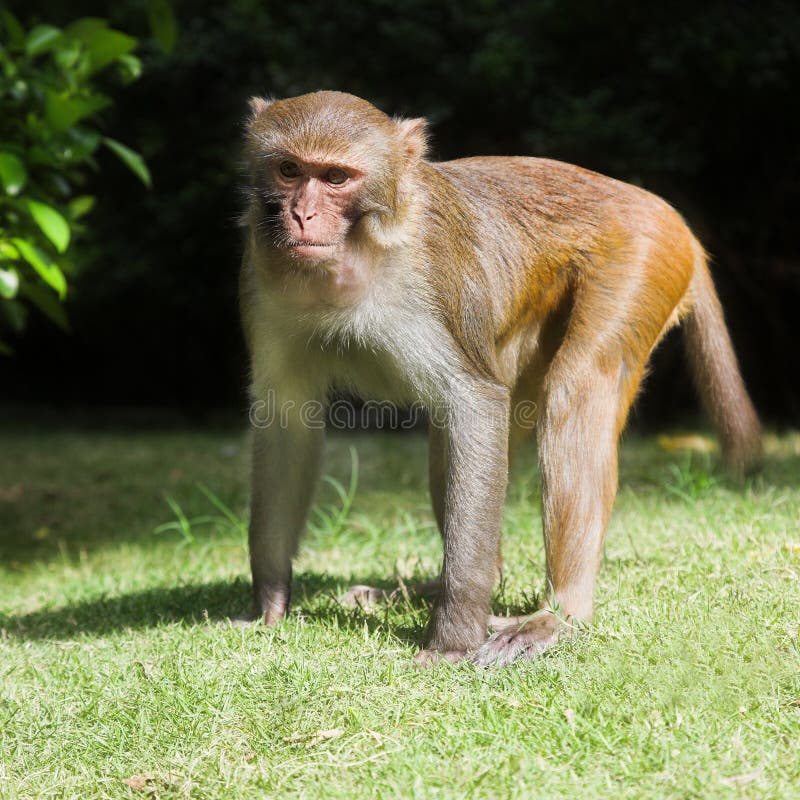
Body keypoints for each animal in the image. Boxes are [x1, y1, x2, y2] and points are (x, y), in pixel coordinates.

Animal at [237, 90, 761, 666]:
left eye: (335, 177)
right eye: (289, 170)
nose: (301, 214)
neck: (356, 258)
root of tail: (671, 215)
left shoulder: (431, 278)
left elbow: (476, 404)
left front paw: (452, 640)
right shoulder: (262, 281)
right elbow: (287, 420)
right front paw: (271, 602)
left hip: (641, 262)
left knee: (573, 391)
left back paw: (561, 614)